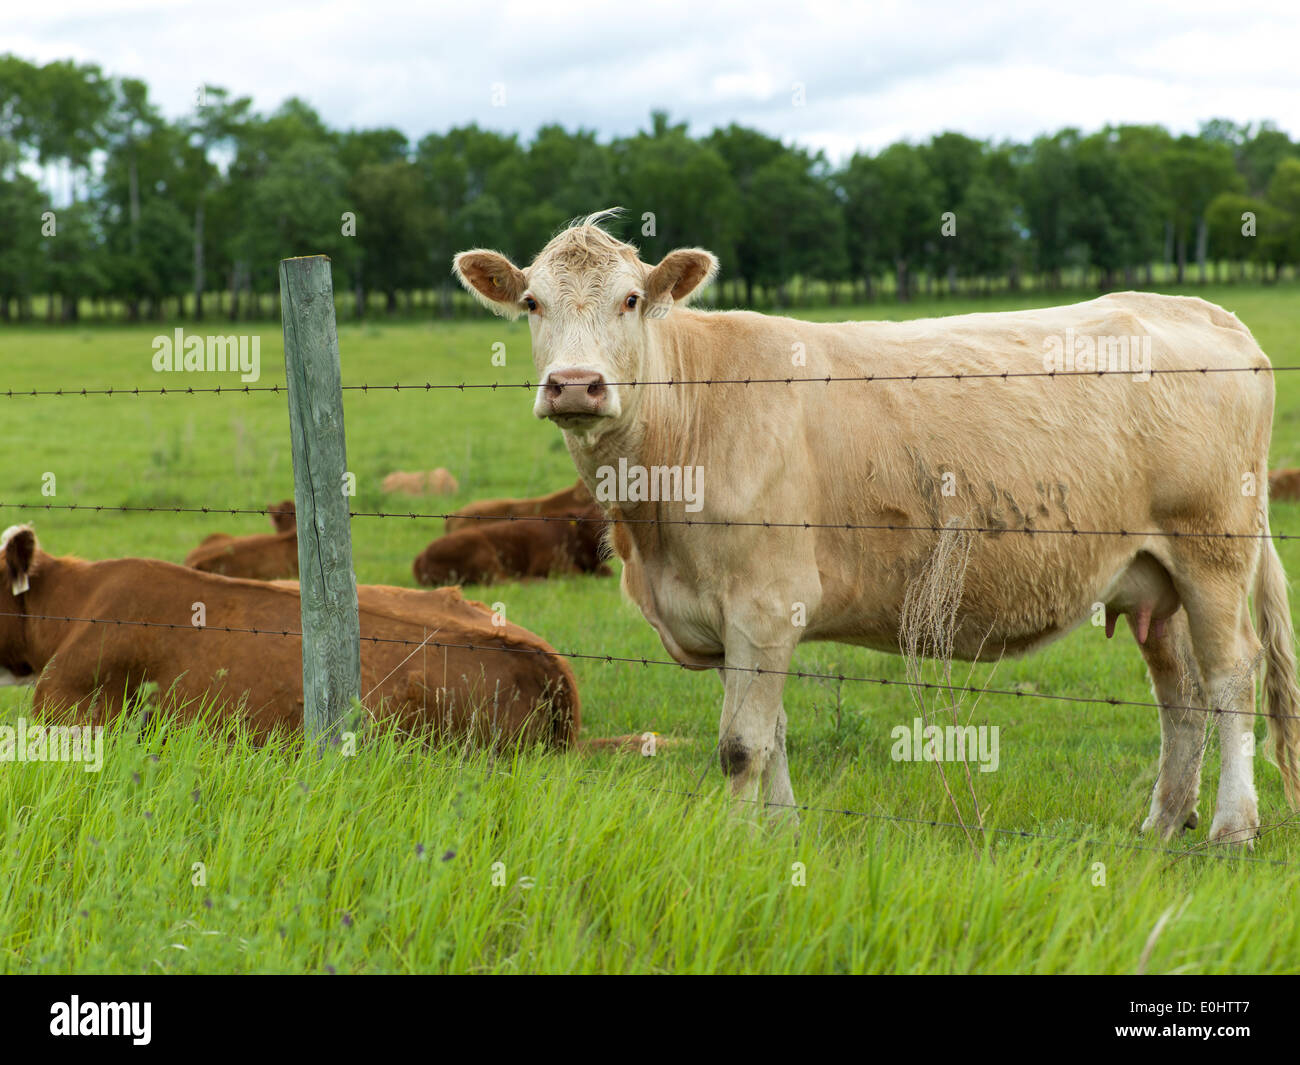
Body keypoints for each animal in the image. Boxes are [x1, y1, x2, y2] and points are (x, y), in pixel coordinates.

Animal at [413, 505, 610, 586]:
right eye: (594, 525)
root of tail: (421, 555)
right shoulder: (548, 563)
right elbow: (577, 573)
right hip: (482, 550)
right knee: (504, 581)